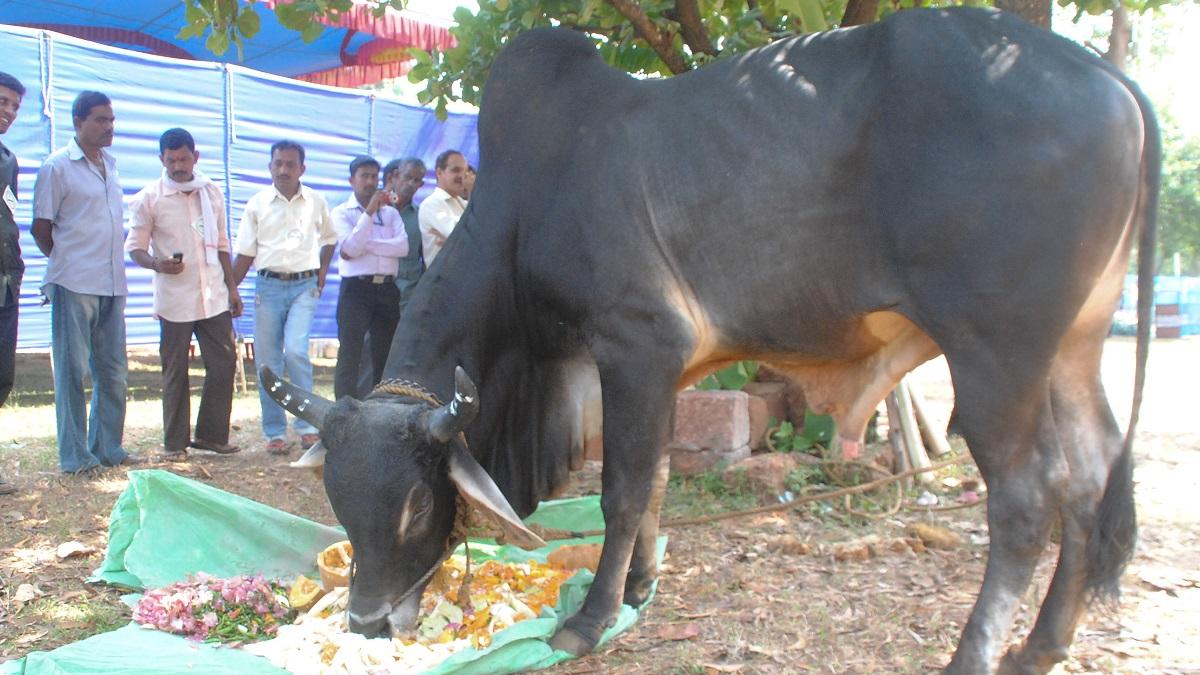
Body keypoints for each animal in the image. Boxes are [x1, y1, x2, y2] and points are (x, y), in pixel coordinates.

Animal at [261, 7, 1158, 673]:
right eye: (335, 498)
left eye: (416, 502)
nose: (368, 621)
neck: (525, 207)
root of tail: (1108, 79)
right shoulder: (660, 369)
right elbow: (656, 479)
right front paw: (639, 587)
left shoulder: (636, 345)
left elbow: (623, 490)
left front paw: (588, 618)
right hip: (1072, 349)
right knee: (1089, 476)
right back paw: (1042, 645)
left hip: (994, 351)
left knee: (1027, 499)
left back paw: (977, 653)